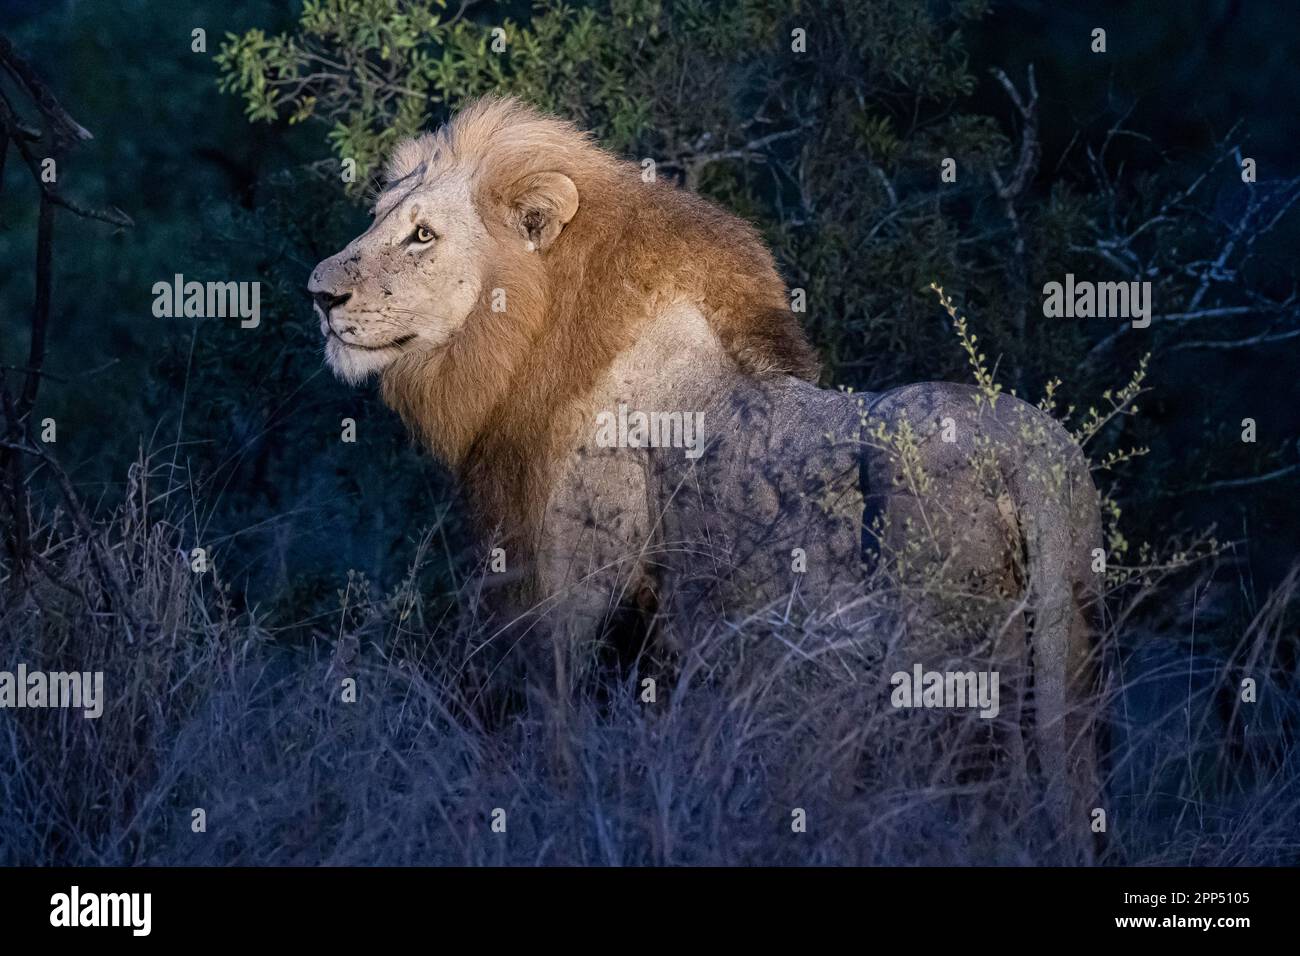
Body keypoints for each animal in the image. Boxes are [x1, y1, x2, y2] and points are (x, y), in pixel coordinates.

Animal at [307, 96, 1103, 851]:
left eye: (422, 236)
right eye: (379, 220)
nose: (320, 294)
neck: (523, 338)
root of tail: (1037, 454)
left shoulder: (572, 581)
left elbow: (553, 718)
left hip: (948, 673)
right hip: (1068, 651)